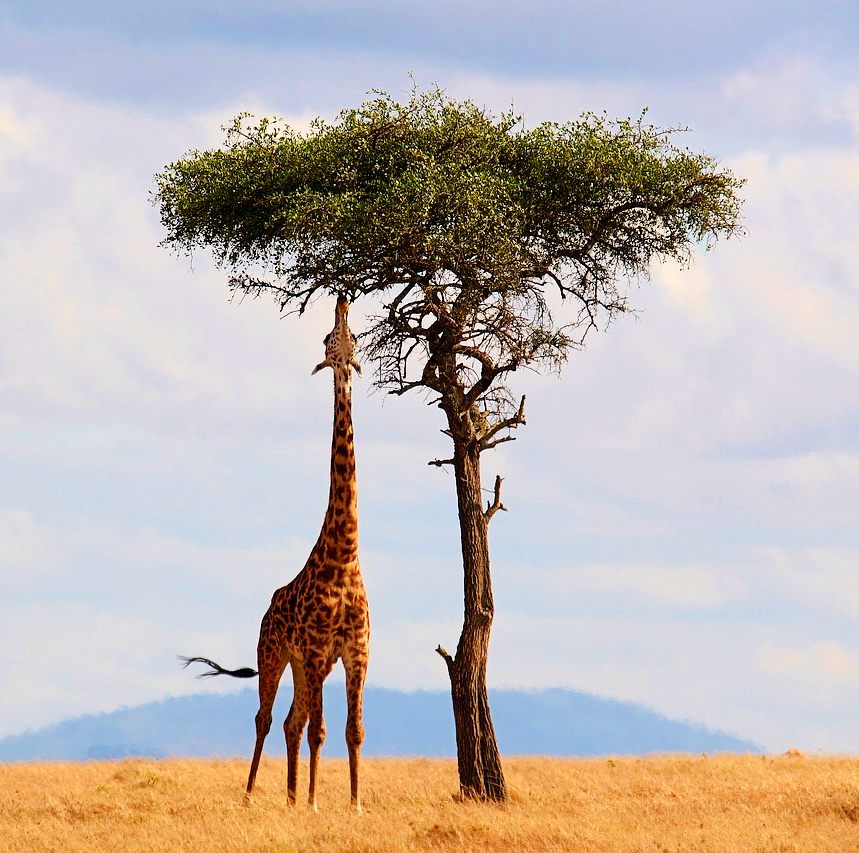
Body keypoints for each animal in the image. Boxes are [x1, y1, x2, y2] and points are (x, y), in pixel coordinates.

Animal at [182, 295, 370, 811]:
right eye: (329, 339)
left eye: (353, 337)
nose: (343, 300)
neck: (345, 555)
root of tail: (267, 609)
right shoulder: (319, 649)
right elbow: (322, 730)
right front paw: (316, 803)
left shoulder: (356, 652)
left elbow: (353, 730)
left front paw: (354, 804)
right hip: (274, 654)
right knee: (267, 718)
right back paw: (252, 795)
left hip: (302, 666)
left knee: (291, 721)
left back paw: (288, 797)